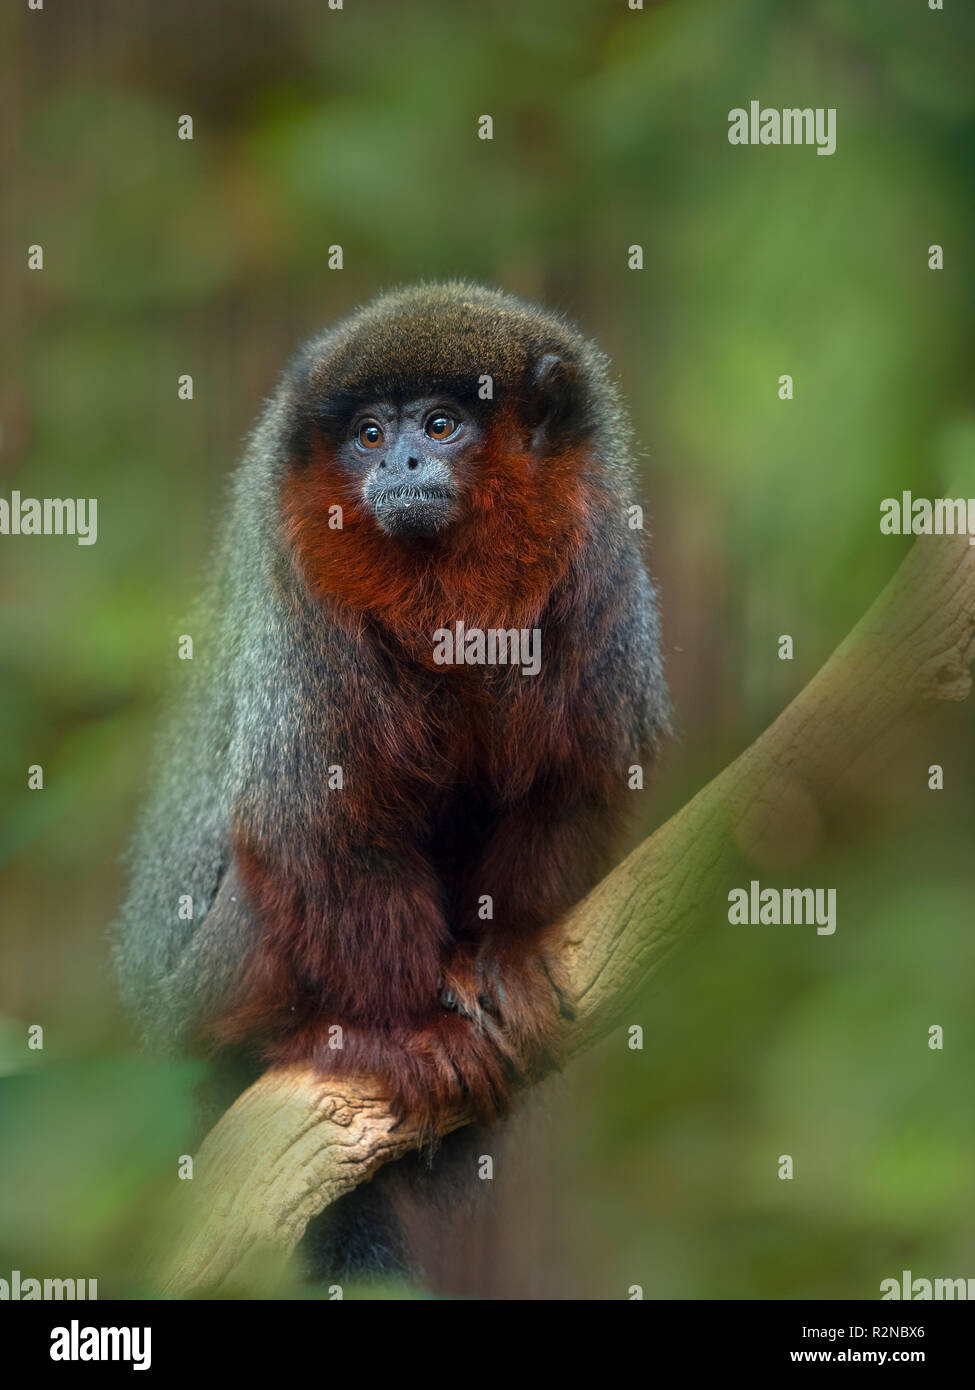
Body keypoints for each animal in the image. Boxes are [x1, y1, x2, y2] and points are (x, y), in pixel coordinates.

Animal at [112, 281, 669, 1281]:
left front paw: (507, 950)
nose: (401, 459)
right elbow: (312, 823)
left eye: (441, 425)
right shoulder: (303, 590)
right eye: (368, 434)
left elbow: (573, 778)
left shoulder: (599, 562)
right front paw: (401, 1037)